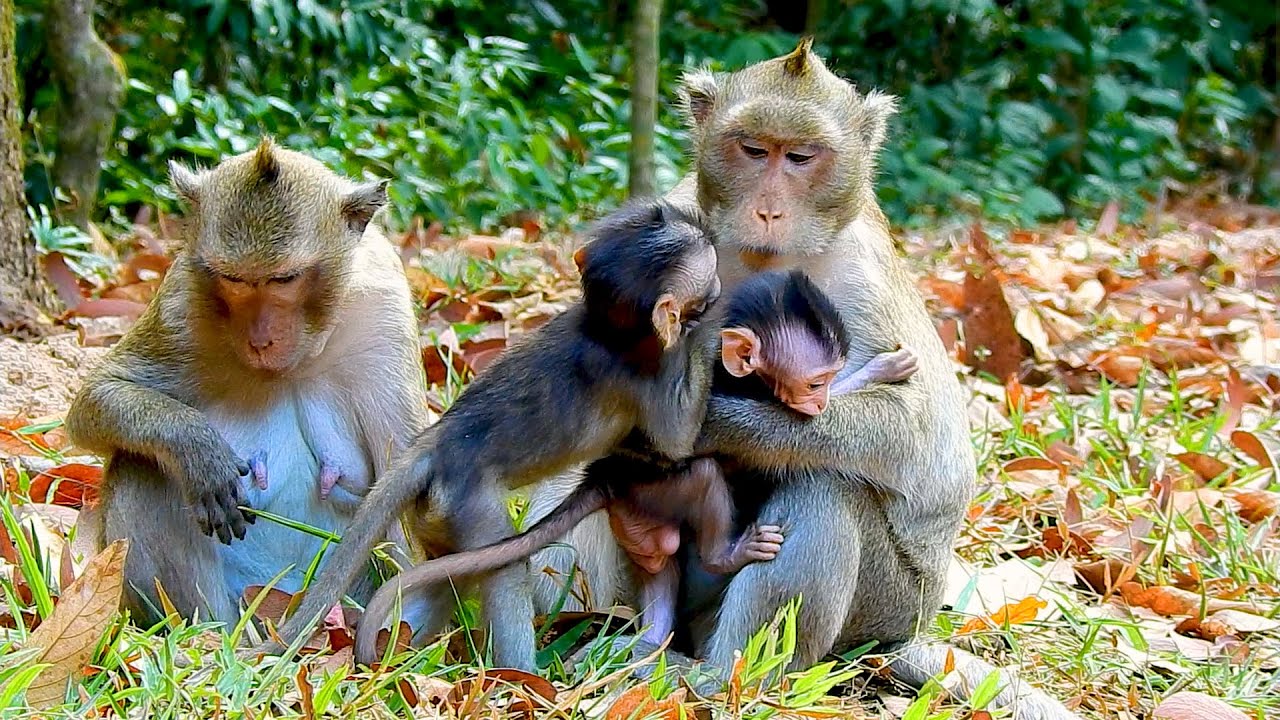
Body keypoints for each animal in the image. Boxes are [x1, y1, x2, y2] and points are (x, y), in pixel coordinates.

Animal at [63, 139, 428, 628]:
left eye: (284, 279)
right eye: (233, 279)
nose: (260, 339)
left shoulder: (383, 309)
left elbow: (406, 467)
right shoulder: (182, 303)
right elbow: (96, 397)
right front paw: (197, 450)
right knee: (138, 464)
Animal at [265, 199, 724, 671]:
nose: (718, 288)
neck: (606, 328)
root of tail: (436, 442)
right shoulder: (653, 373)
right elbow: (675, 442)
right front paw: (710, 333)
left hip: (435, 513)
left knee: (445, 577)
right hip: (468, 504)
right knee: (503, 569)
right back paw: (522, 673)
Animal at [524, 41, 1082, 720]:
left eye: (800, 157)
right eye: (752, 149)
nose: (769, 208)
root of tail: (902, 633)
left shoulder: (860, 277)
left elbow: (915, 437)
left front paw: (714, 422)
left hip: (885, 601)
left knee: (827, 482)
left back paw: (718, 679)